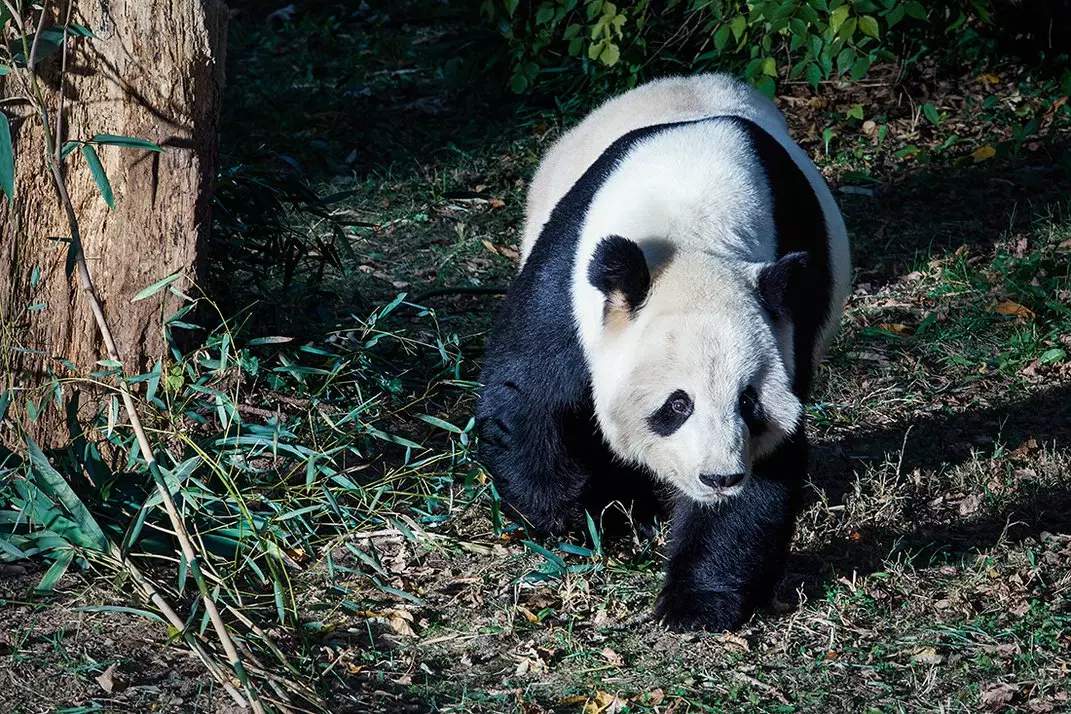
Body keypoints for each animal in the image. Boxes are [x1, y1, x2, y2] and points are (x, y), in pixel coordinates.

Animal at [477, 72, 852, 629]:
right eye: (678, 404)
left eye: (748, 402)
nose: (718, 478)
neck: (697, 236)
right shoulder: (573, 275)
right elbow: (529, 394)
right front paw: (574, 518)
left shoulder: (788, 324)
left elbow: (769, 464)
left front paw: (697, 602)